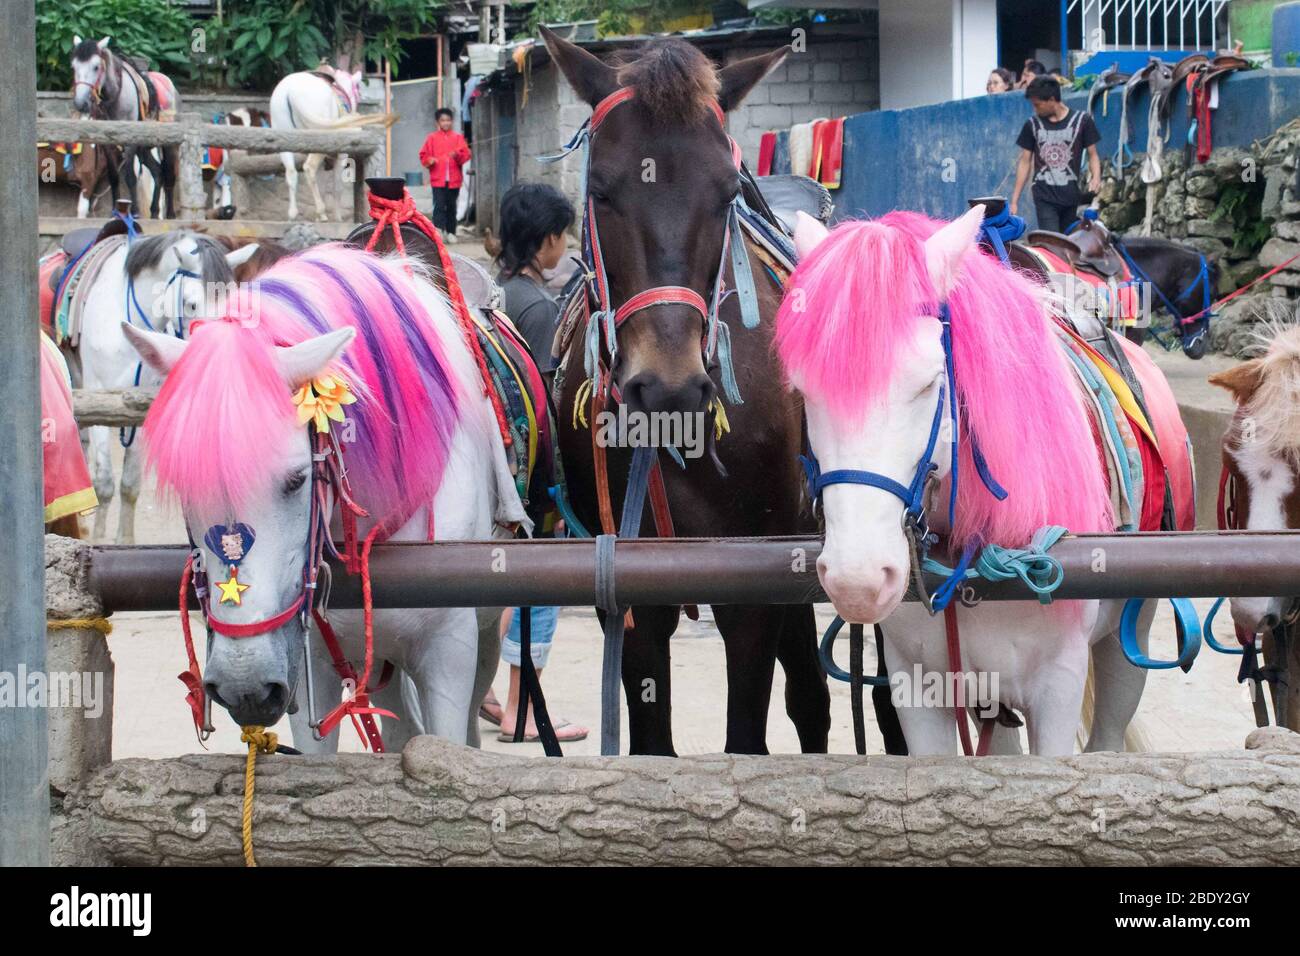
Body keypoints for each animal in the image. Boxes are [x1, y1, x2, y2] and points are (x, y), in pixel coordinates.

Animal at [70, 36, 179, 218]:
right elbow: (114, 177)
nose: (80, 103)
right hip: (145, 148)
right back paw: (154, 211)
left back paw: (170, 214)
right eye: (74, 67)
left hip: (169, 145)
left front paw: (133, 212)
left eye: (96, 67)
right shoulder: (107, 145)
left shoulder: (130, 144)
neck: (116, 98)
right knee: (157, 172)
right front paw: (115, 212)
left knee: (168, 175)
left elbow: (130, 177)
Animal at [122, 244, 526, 749]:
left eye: (297, 480)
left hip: (483, 639)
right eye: (185, 485)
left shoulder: (449, 654)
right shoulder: (309, 661)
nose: (244, 685)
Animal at [269, 67, 391, 222]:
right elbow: (337, 187)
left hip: (283, 135)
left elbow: (320, 184)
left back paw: (293, 213)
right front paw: (336, 217)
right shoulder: (341, 154)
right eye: (358, 90)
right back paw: (320, 211)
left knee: (291, 172)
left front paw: (318, 217)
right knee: (309, 168)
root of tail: (289, 91)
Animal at [540, 28, 831, 756]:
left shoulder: (753, 583)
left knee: (813, 700)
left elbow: (746, 739)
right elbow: (652, 744)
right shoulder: (630, 587)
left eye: (727, 193)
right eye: (600, 189)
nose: (666, 387)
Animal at [779, 205, 1196, 756]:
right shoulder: (919, 689)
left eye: (930, 383)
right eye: (806, 390)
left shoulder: (1057, 688)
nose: (858, 579)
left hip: (1129, 639)